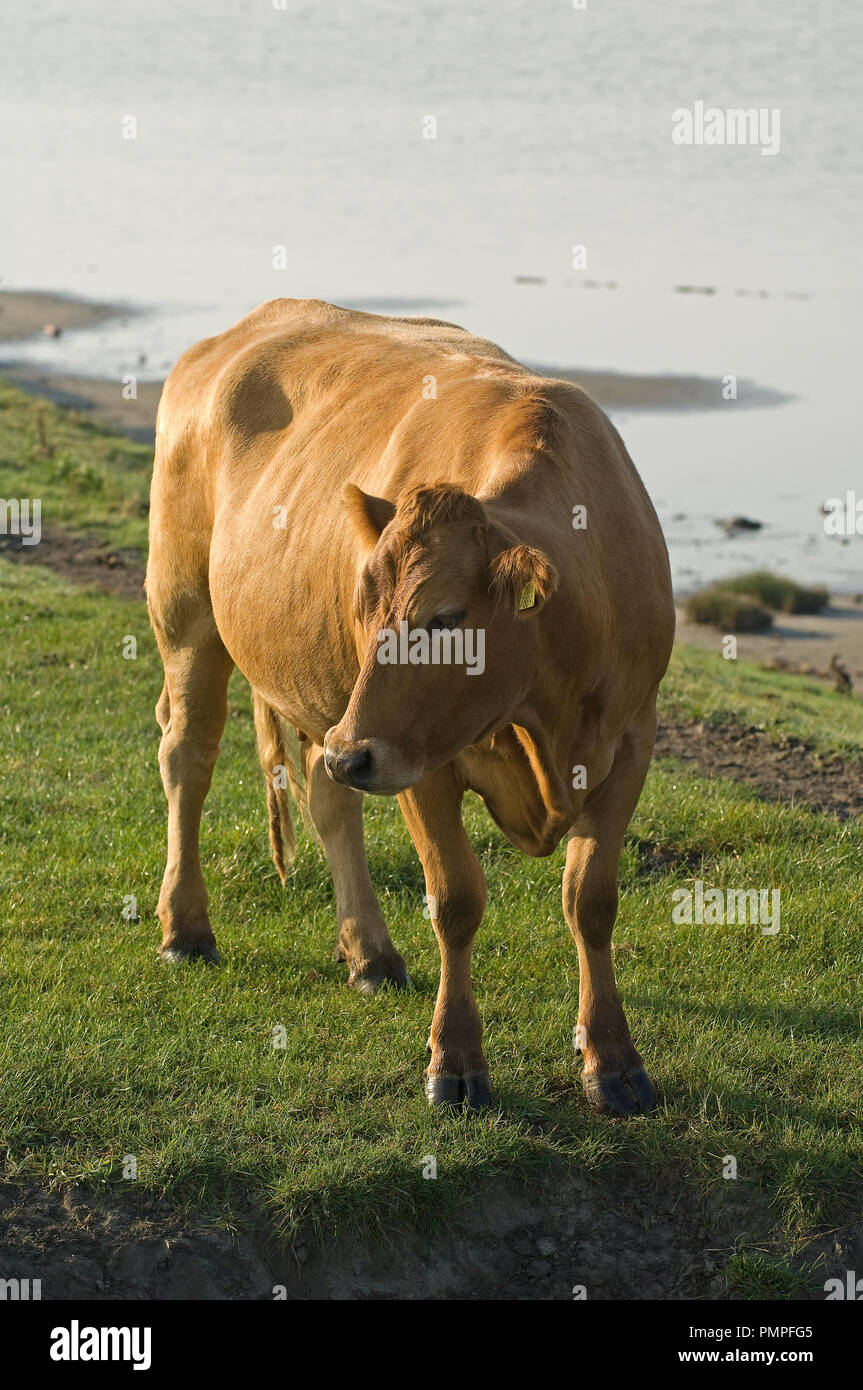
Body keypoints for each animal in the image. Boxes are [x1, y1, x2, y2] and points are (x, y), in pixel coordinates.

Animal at [146, 298, 675, 1116]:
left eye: (446, 620)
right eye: (366, 609)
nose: (353, 751)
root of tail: (243, 329)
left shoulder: (630, 740)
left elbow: (590, 899)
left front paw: (613, 1061)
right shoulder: (419, 762)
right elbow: (455, 899)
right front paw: (454, 1062)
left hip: (331, 702)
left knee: (328, 798)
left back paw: (369, 952)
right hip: (189, 615)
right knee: (189, 761)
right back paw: (185, 928)